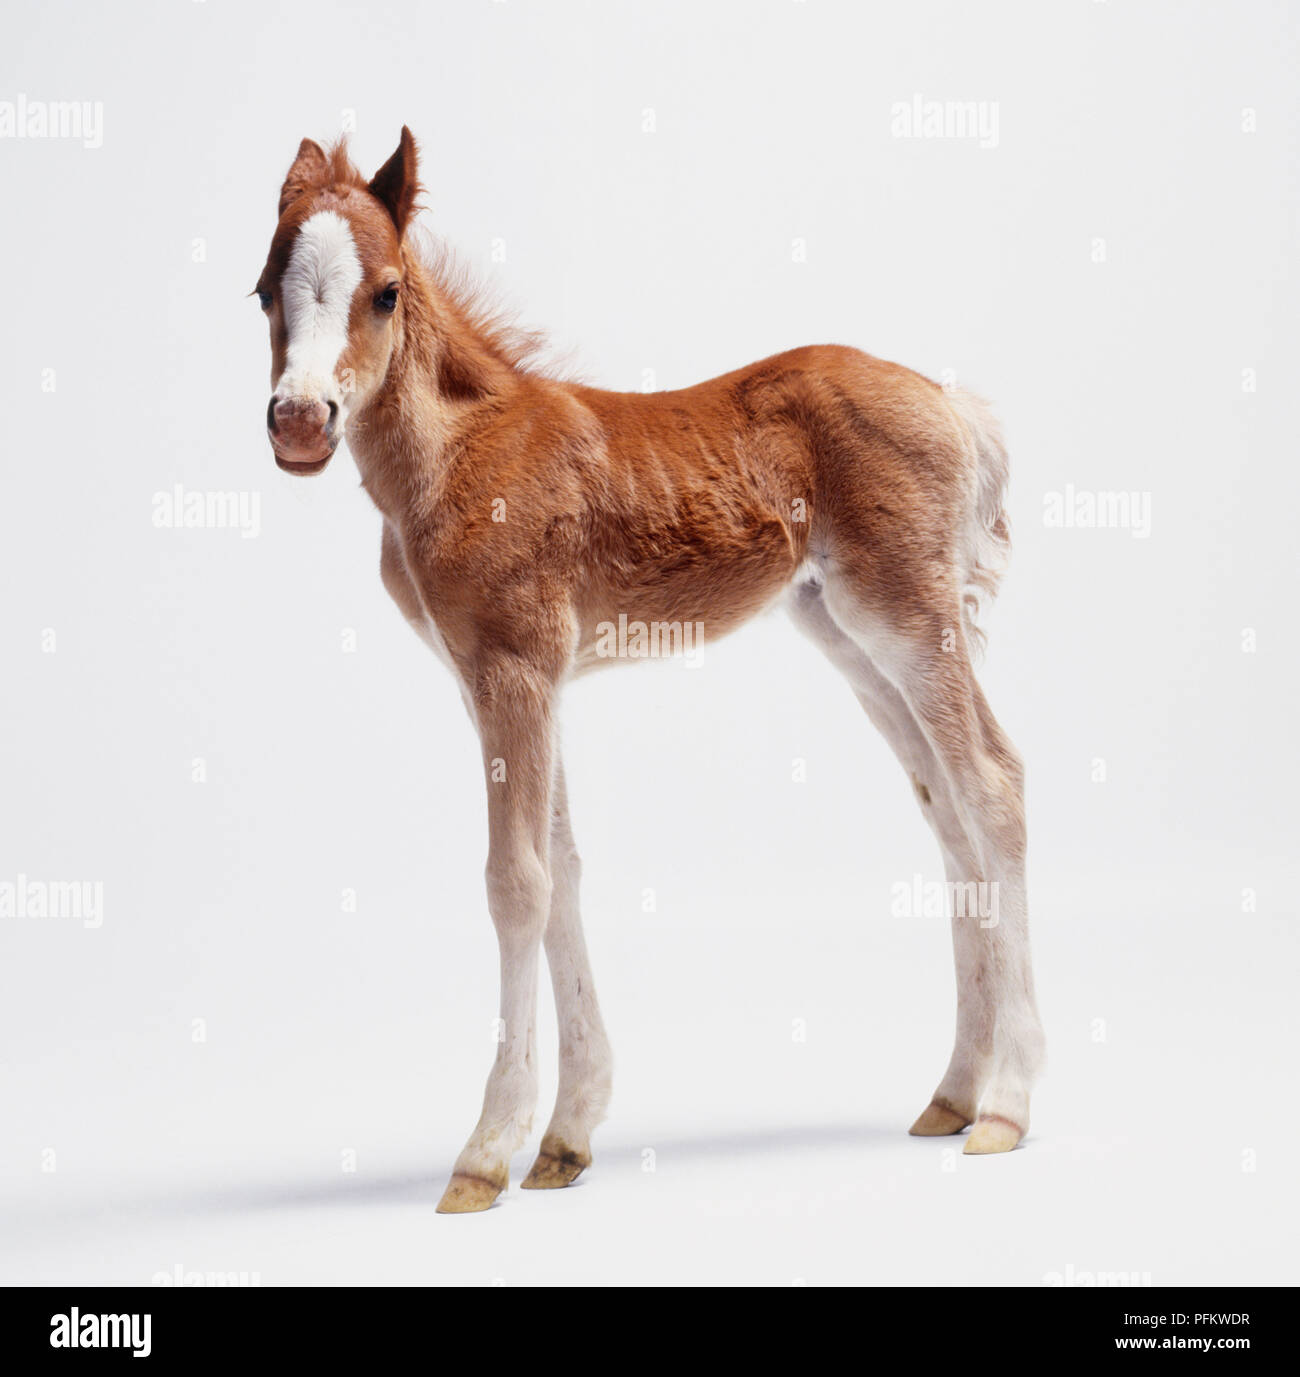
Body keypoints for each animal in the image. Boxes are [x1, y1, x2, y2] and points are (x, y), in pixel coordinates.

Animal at [255, 127, 1045, 1213]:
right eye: (262, 290)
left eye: (384, 292)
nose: (299, 421)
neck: (462, 453)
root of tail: (955, 405)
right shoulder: (509, 682)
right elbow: (564, 870)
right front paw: (565, 1137)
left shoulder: (513, 669)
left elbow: (516, 881)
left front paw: (485, 1152)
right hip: (849, 636)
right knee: (948, 812)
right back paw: (955, 1093)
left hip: (909, 621)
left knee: (994, 784)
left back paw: (1007, 1106)